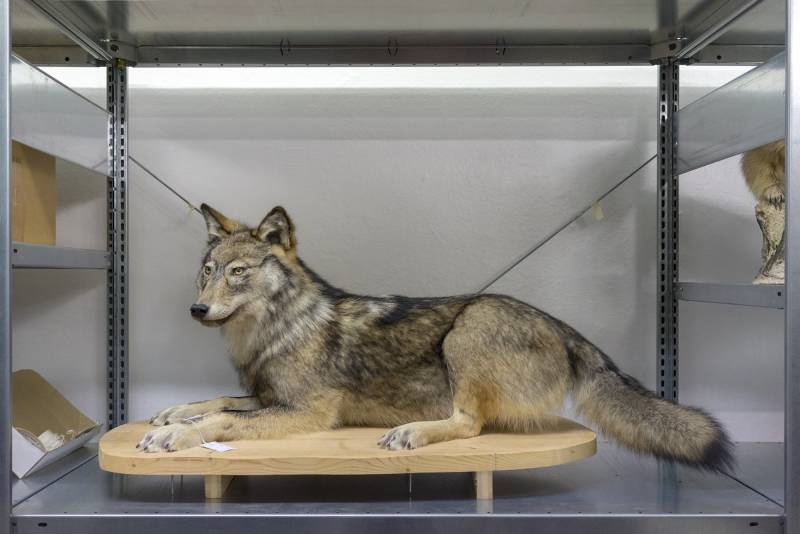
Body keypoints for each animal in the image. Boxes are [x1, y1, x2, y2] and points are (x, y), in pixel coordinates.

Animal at [138, 204, 732, 472]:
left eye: (238, 273)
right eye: (207, 272)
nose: (196, 308)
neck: (276, 330)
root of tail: (566, 329)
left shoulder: (304, 412)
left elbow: (222, 420)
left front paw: (177, 436)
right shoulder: (265, 396)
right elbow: (215, 399)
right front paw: (172, 414)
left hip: (469, 328)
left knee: (469, 424)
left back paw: (412, 433)